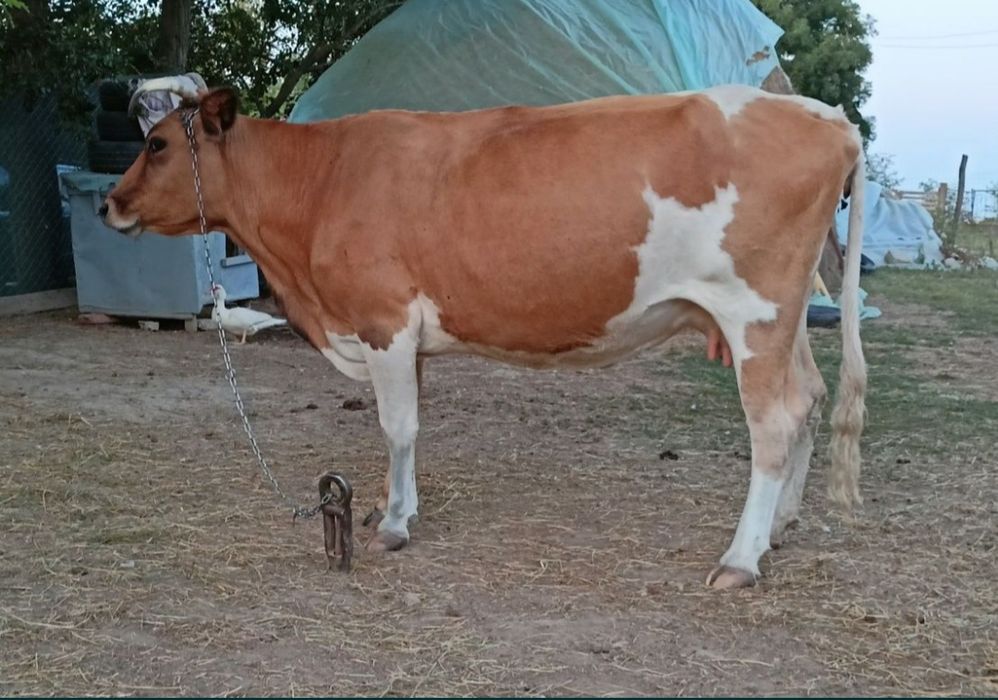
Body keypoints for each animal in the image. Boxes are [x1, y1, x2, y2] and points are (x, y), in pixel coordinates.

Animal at [101, 82, 866, 589]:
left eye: (157, 144)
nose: (108, 203)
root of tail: (823, 115)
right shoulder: (405, 336)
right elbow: (407, 431)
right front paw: (398, 507)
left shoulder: (383, 320)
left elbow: (398, 428)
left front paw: (394, 528)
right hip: (784, 317)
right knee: (808, 400)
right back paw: (780, 530)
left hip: (753, 312)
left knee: (774, 424)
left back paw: (740, 559)